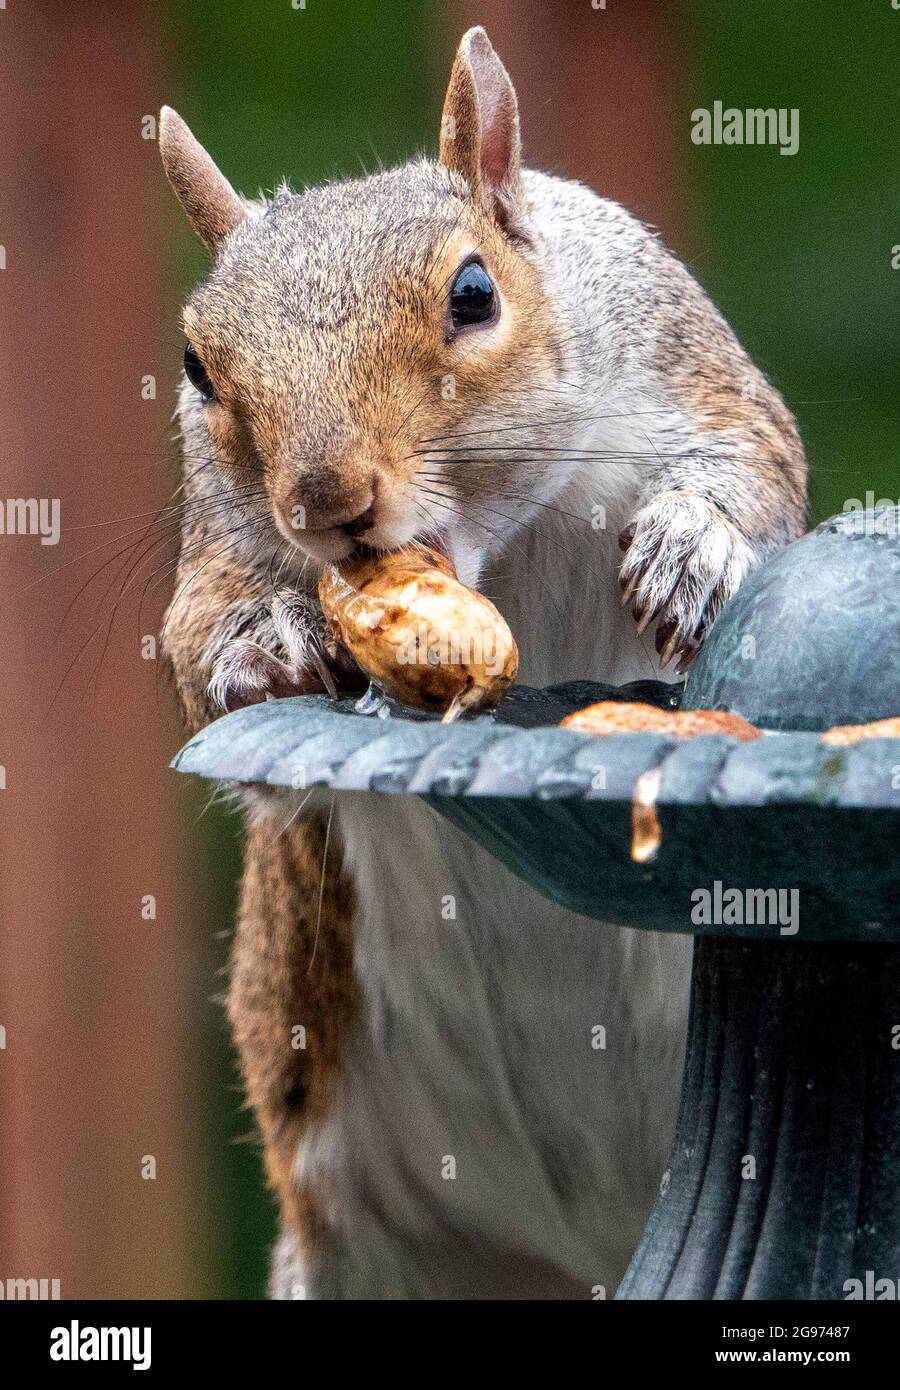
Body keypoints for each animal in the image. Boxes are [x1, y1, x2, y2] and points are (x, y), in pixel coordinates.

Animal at [160, 28, 806, 1298]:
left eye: (475, 294)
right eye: (199, 368)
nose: (329, 504)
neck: (500, 549)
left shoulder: (692, 375)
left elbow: (759, 472)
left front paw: (694, 546)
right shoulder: (216, 551)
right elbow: (207, 663)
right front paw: (265, 652)